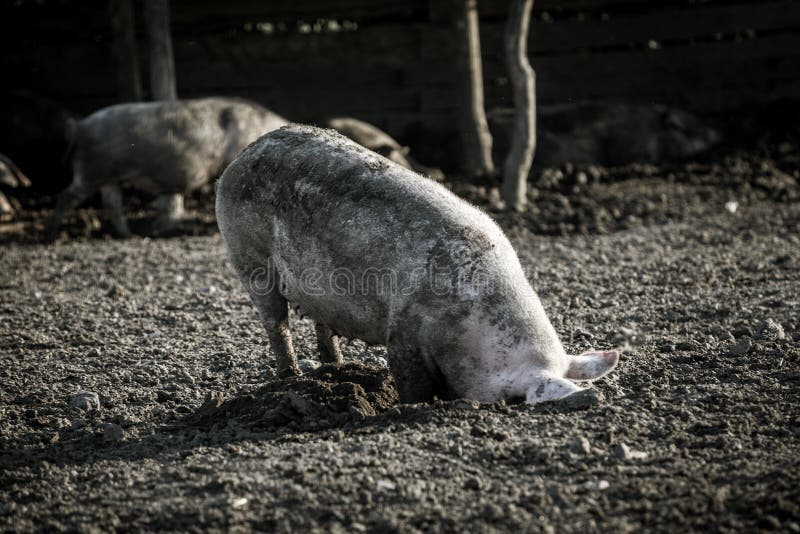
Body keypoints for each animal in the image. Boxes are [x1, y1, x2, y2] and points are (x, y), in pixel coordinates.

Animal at [45, 97, 287, 238]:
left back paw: (129, 235)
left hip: (109, 177)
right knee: (66, 197)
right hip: (93, 172)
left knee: (112, 204)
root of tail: (80, 126)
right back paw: (51, 233)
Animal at [216, 124, 619, 404]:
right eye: (516, 396)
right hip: (247, 257)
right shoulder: (406, 326)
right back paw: (292, 376)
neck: (471, 323)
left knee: (322, 325)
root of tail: (243, 155)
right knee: (275, 322)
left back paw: (337, 369)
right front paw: (414, 405)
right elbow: (411, 380)